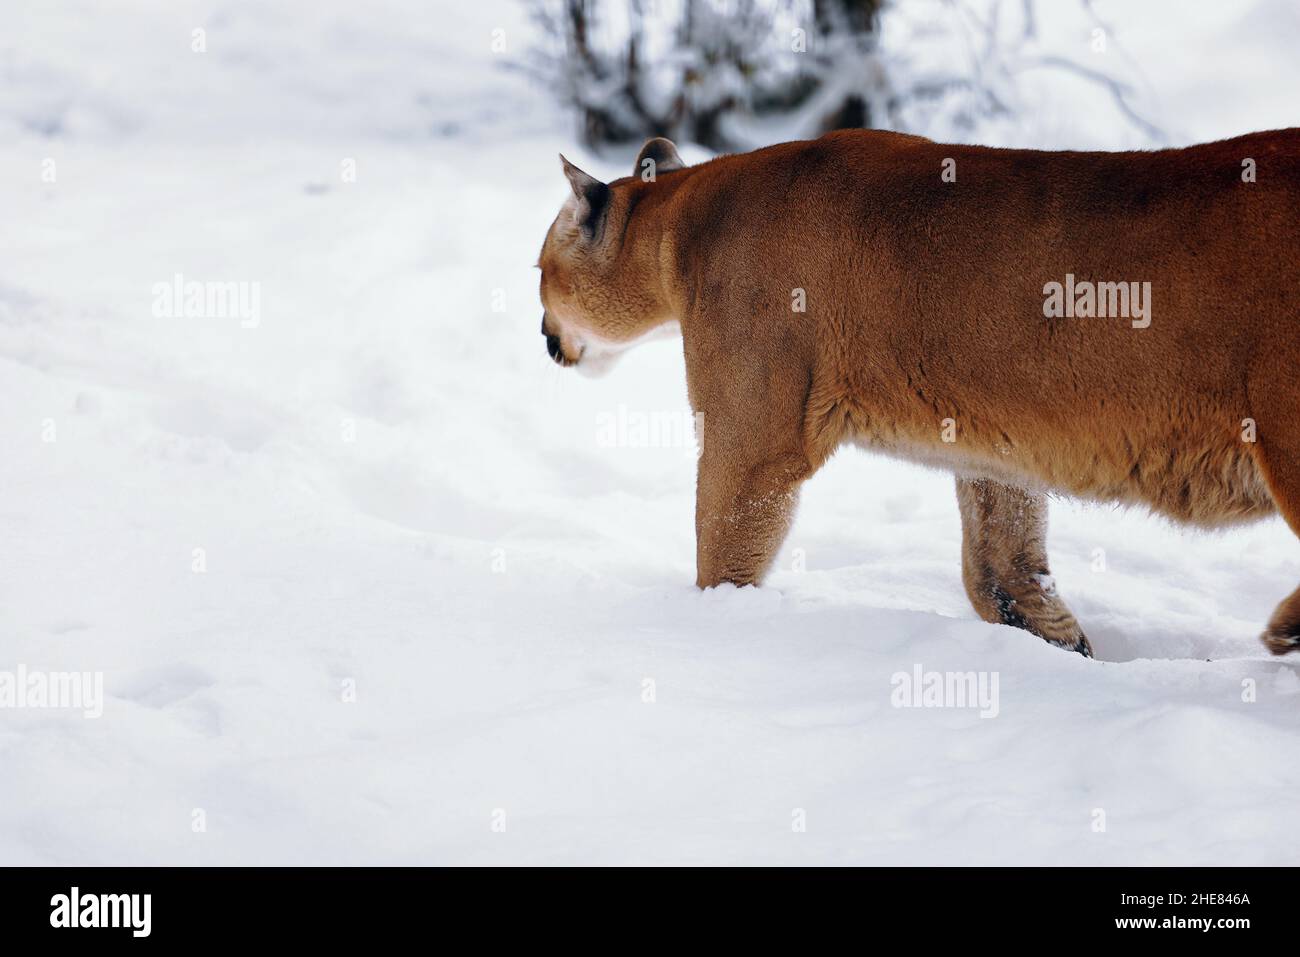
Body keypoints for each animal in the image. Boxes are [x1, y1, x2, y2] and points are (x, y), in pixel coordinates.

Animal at [537, 130, 1300, 658]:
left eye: (537, 269)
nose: (544, 336)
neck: (682, 223)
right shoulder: (994, 448)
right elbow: (1000, 568)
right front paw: (1060, 645)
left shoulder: (753, 443)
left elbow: (724, 547)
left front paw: (711, 629)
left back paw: (1287, 628)